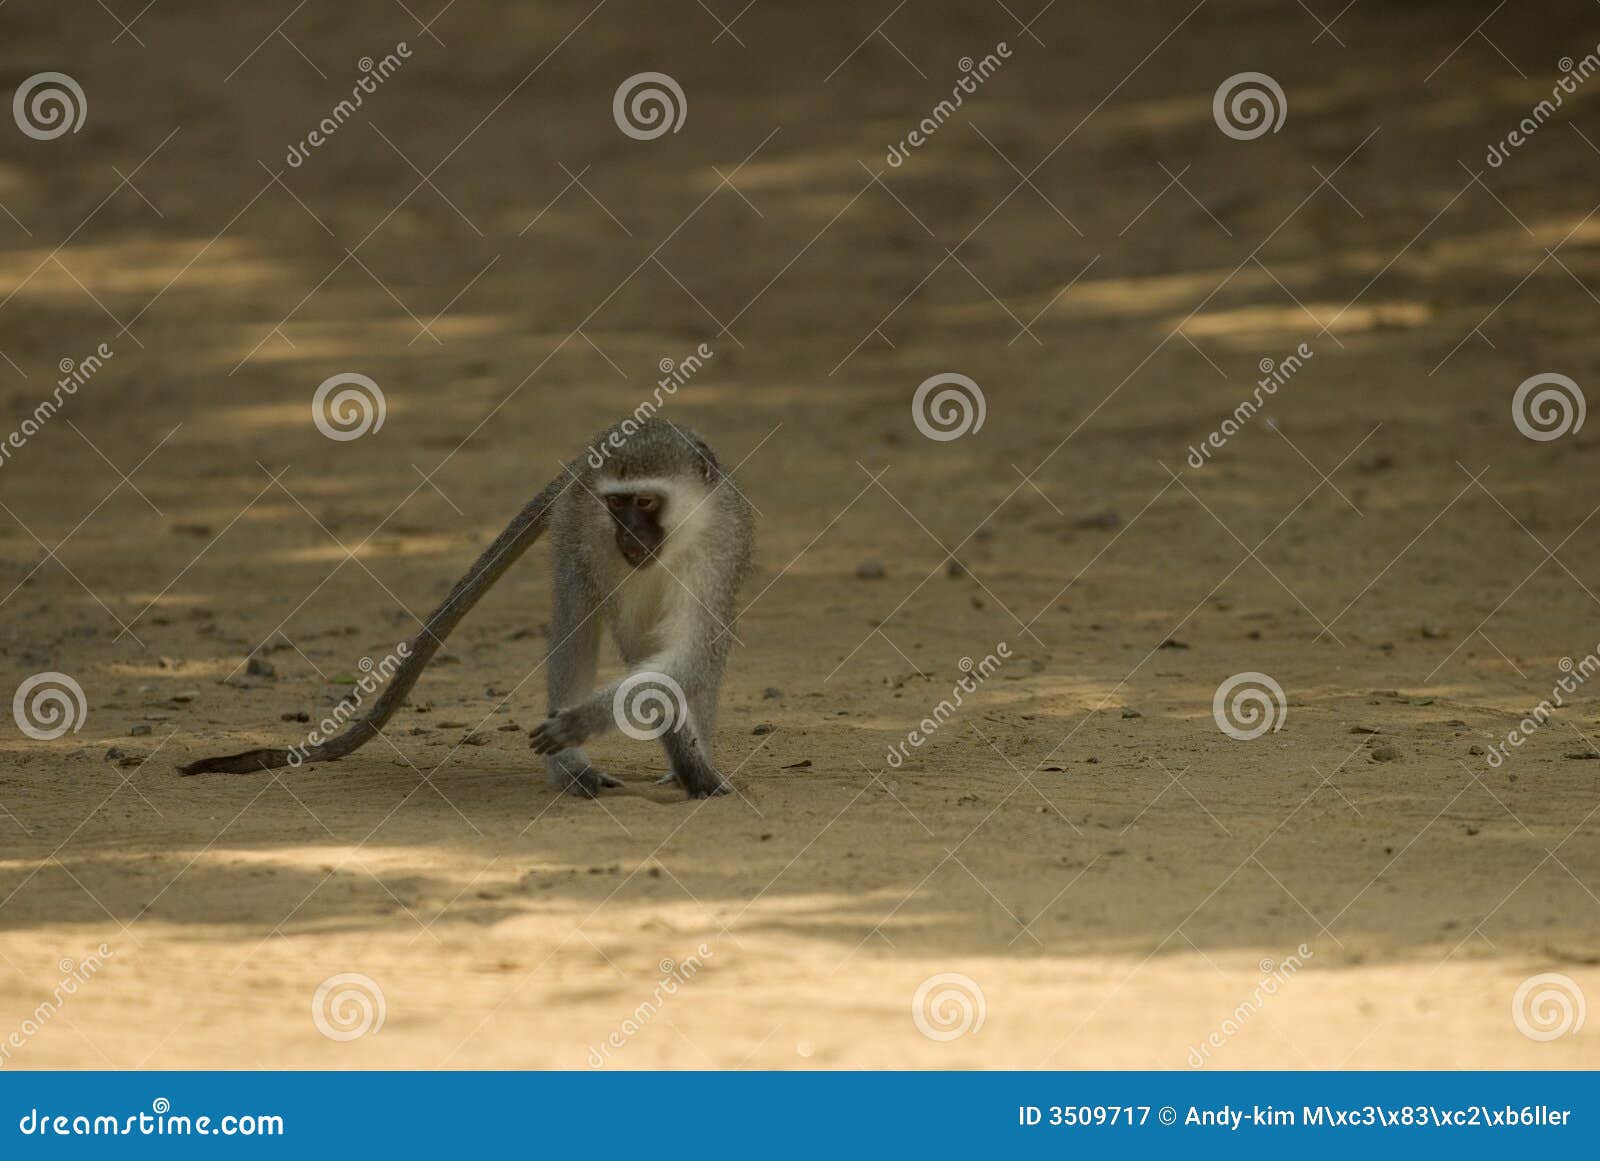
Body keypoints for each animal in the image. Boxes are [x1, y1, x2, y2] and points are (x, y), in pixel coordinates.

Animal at [179, 418, 754, 799]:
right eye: (617, 503)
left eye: (646, 502)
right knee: (577, 624)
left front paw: (687, 763)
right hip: (576, 528)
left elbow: (689, 659)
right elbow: (646, 657)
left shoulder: (720, 550)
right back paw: (574, 770)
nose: (629, 537)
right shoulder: (597, 539)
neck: (677, 541)